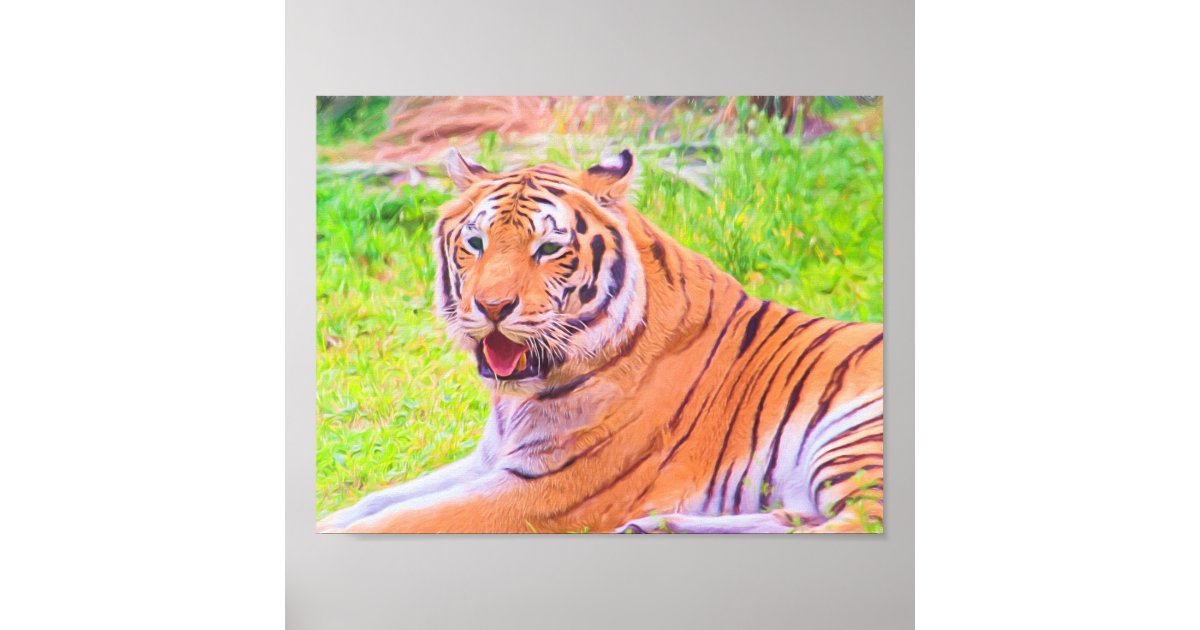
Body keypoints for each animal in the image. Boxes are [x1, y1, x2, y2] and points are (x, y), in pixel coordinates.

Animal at [316, 148, 883, 534]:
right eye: (475, 243)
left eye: (548, 249)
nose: (492, 308)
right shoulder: (491, 460)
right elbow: (372, 502)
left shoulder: (546, 489)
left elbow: (396, 520)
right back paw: (656, 527)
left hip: (854, 435)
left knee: (855, 522)